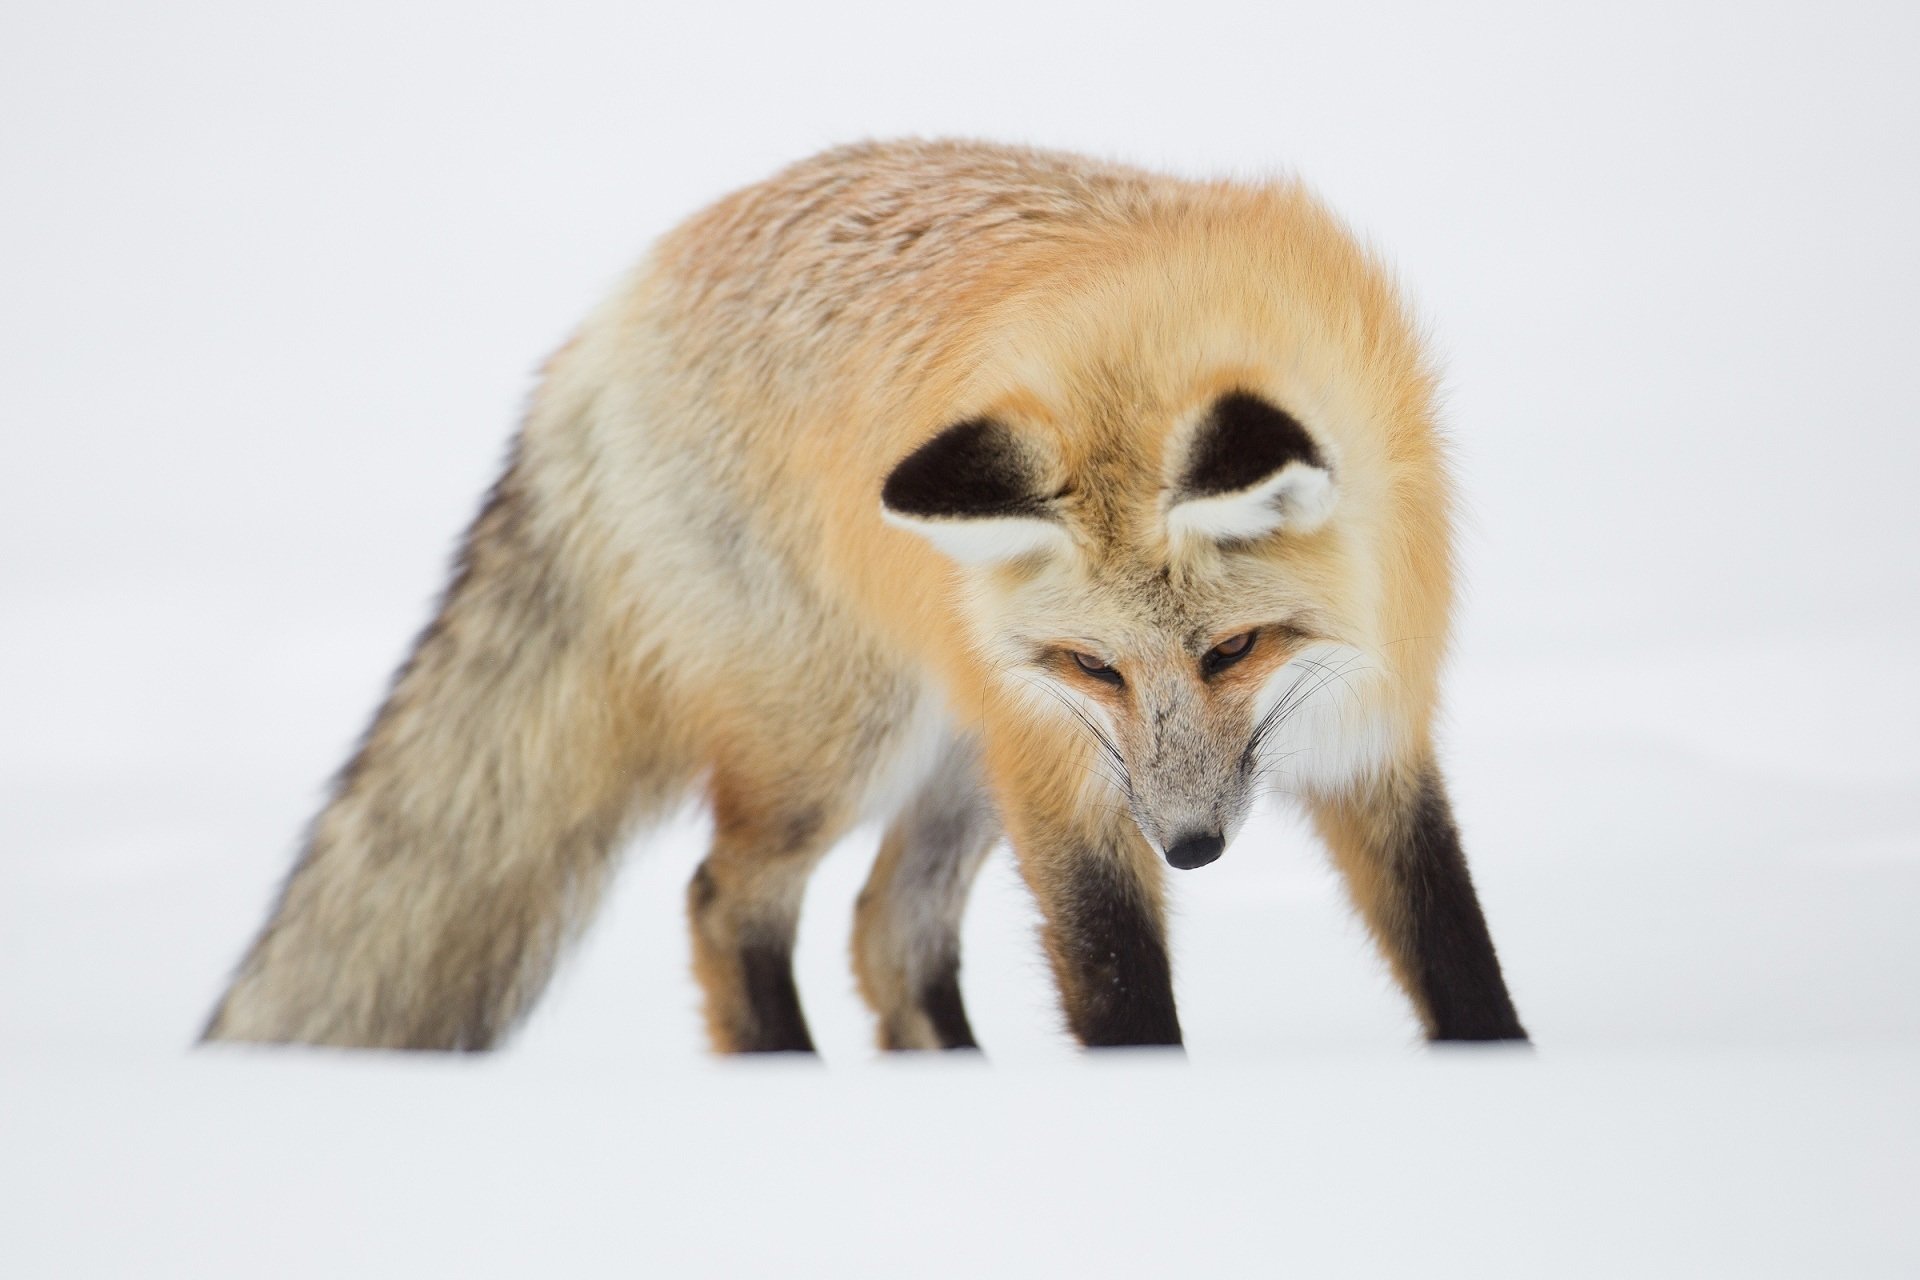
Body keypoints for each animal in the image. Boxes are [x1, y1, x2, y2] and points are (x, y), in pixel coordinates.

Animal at [203, 138, 1527, 1054]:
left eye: (1235, 648)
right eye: (1097, 663)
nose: (1192, 846)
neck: (1132, 339)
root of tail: (602, 323)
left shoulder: (1373, 738)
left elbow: (1461, 961)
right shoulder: (1075, 781)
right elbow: (1117, 989)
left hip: (963, 753)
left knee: (887, 935)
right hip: (845, 744)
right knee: (724, 900)